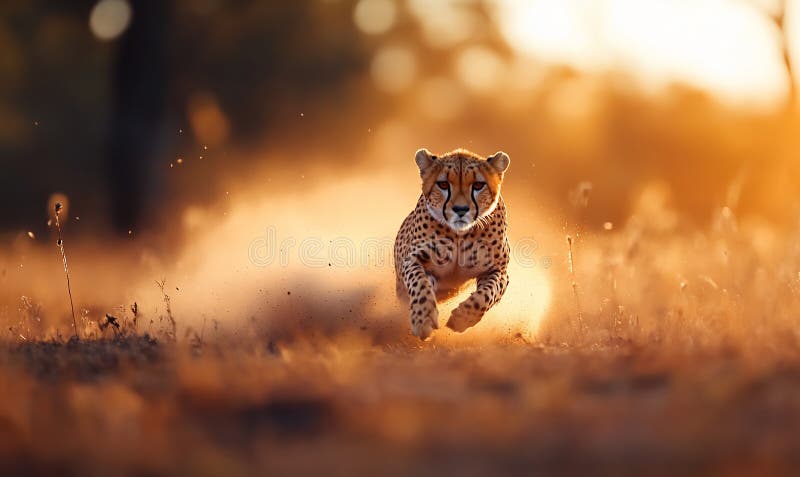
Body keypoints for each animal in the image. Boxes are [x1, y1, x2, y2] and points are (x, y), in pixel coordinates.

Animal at [394, 148, 511, 340]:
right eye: (442, 184)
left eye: (478, 185)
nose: (460, 209)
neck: (459, 234)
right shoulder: (414, 259)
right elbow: (420, 283)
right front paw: (423, 317)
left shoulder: (498, 270)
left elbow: (487, 294)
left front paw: (464, 317)